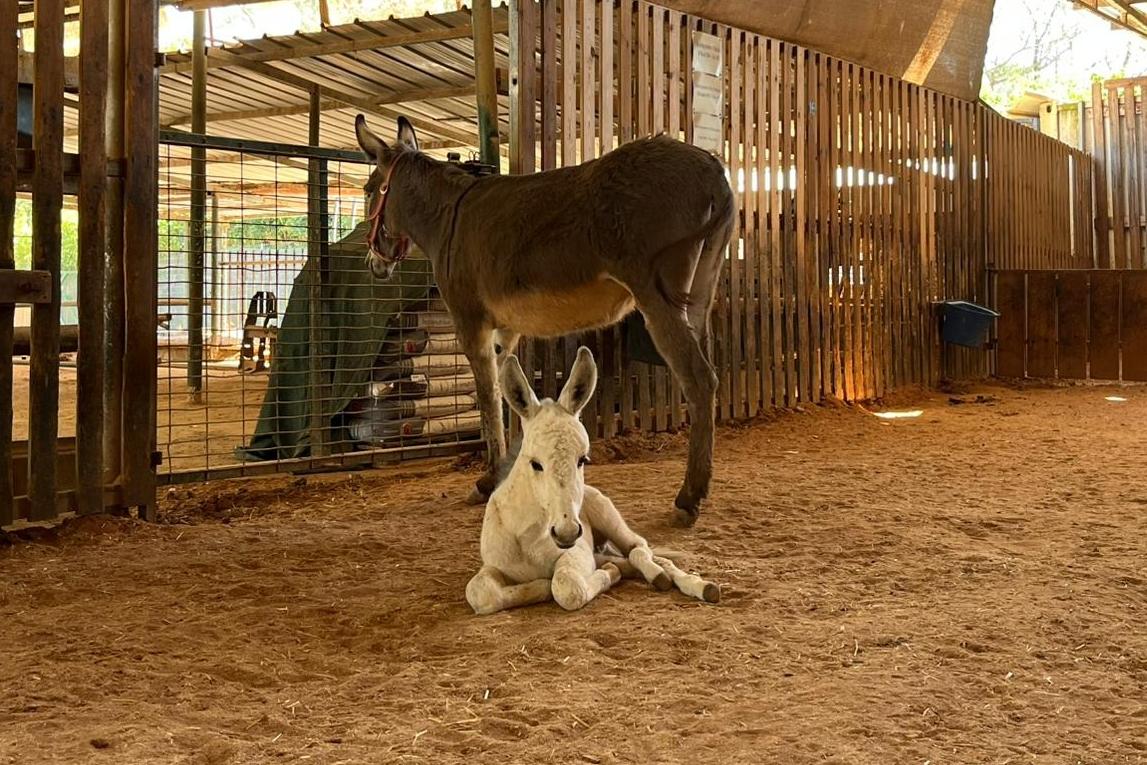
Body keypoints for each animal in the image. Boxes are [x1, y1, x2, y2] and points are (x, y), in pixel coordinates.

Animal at [354, 115, 734, 526]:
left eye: (369, 190)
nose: (374, 264)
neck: (446, 218)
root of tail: (712, 167)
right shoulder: (507, 328)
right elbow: (508, 390)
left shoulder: (470, 320)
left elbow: (487, 395)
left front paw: (487, 481)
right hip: (700, 294)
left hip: (657, 296)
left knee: (699, 379)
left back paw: (689, 497)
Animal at [465, 346, 720, 614]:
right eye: (535, 463)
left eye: (583, 459)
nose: (566, 532)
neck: (527, 535)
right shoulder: (493, 566)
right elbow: (480, 592)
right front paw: (540, 585)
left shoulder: (578, 554)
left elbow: (566, 586)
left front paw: (597, 577)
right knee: (632, 559)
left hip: (609, 520)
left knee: (642, 550)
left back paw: (689, 583)